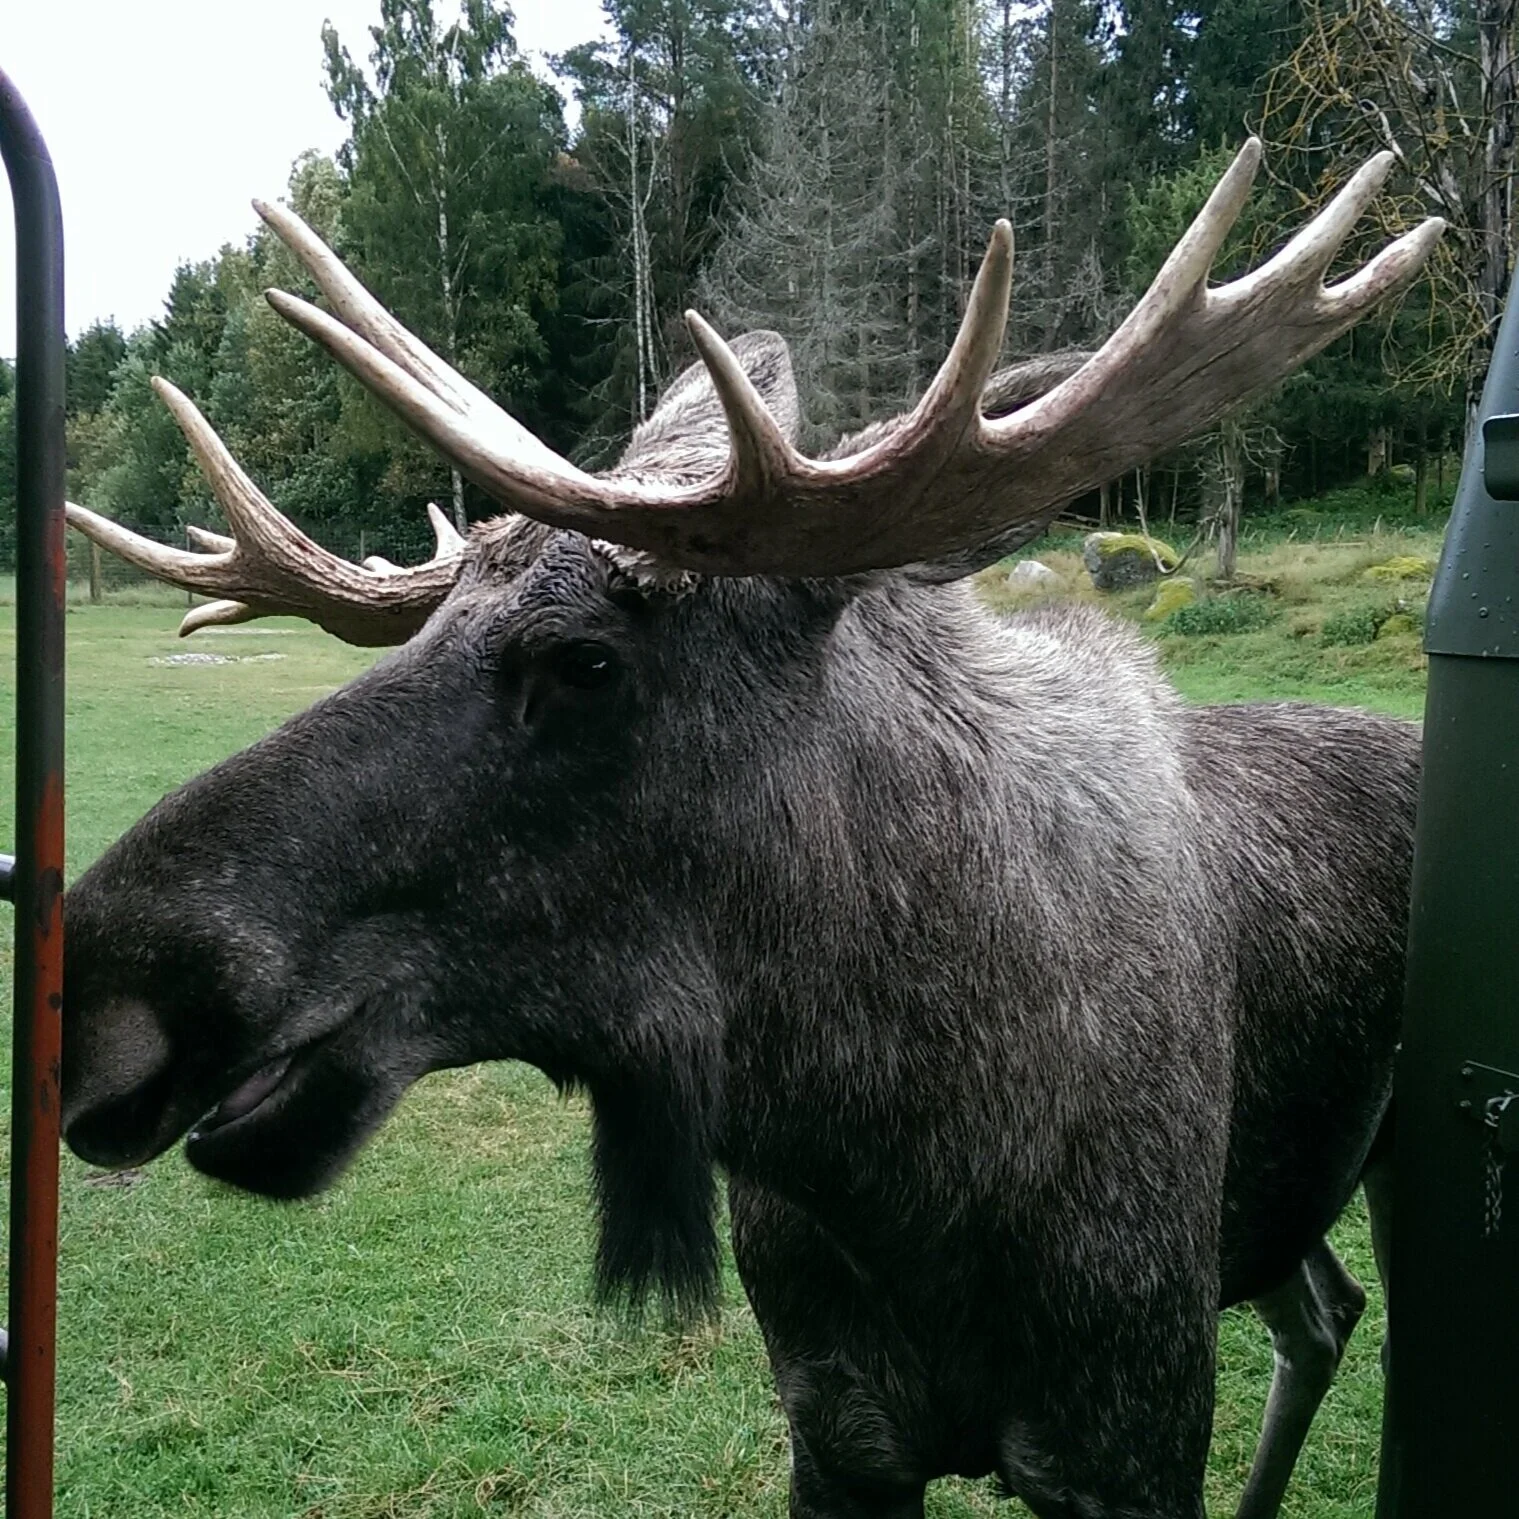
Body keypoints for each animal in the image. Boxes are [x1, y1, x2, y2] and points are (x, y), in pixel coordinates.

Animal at [61, 140, 1440, 1518]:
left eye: (585, 660)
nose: (101, 995)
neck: (905, 1163)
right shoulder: (836, 1431)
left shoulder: (1128, 1436)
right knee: (1321, 1307)